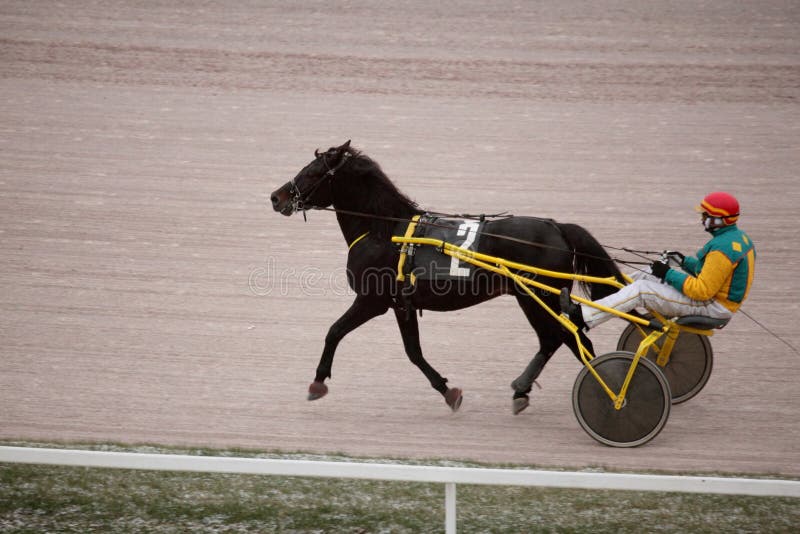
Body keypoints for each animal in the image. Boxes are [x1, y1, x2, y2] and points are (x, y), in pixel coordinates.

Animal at [270, 140, 624, 414]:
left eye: (312, 172)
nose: (277, 197)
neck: (383, 230)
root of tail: (557, 227)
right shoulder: (401, 304)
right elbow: (413, 352)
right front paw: (448, 391)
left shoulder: (372, 301)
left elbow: (334, 331)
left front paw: (317, 382)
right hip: (535, 297)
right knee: (560, 339)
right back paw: (528, 390)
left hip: (537, 296)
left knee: (568, 339)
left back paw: (605, 391)